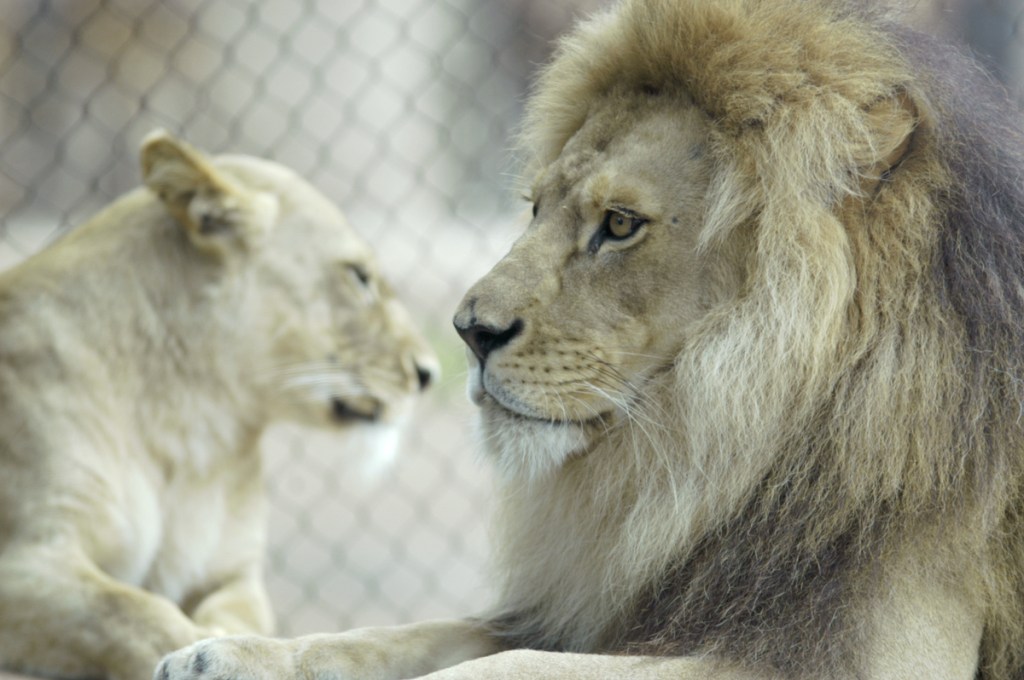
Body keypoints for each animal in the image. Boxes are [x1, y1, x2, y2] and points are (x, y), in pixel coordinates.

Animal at [0, 131, 438, 680]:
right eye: (359, 276)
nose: (429, 373)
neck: (194, 423)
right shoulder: (30, 554)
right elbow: (128, 609)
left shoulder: (235, 574)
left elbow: (237, 619)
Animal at [156, 0, 1024, 678]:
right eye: (536, 208)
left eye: (620, 224)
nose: (468, 332)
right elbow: (407, 636)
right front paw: (223, 654)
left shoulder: (873, 656)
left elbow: (504, 668)